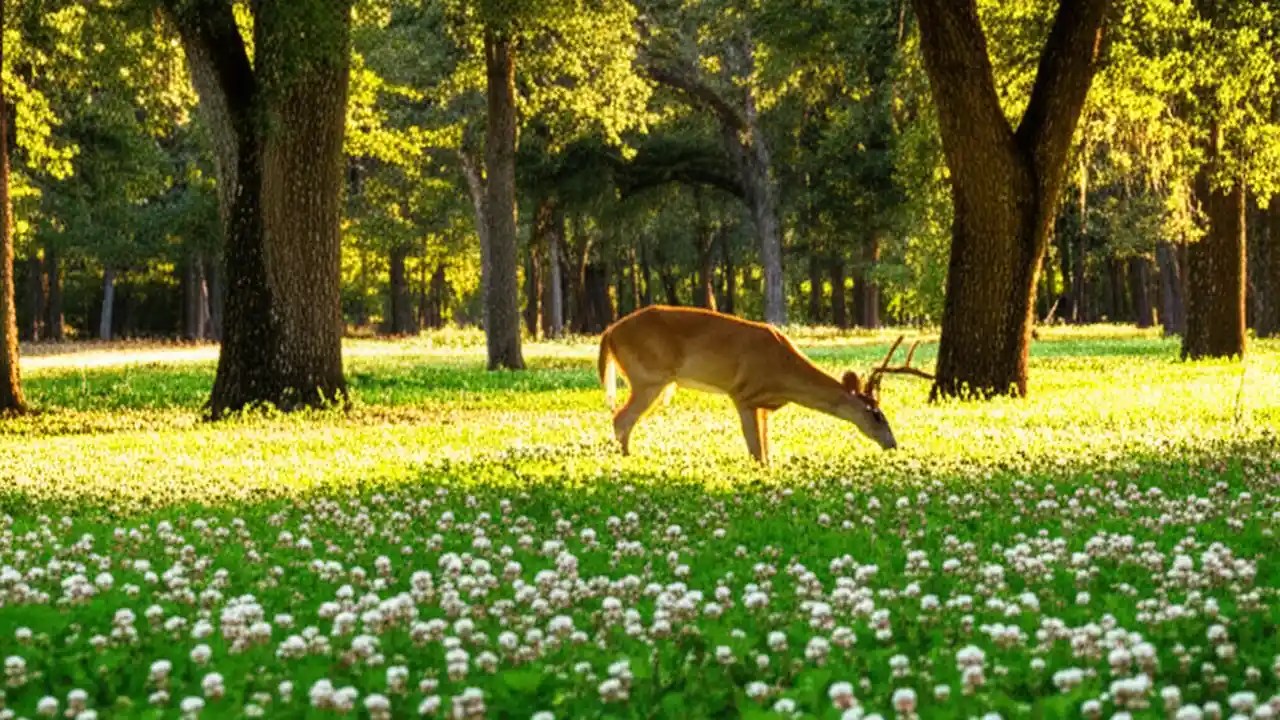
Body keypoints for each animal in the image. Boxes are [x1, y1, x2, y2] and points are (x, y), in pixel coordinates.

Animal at [596, 305, 934, 465]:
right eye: (876, 414)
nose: (893, 444)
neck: (783, 376)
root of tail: (609, 332)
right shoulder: (742, 392)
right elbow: (755, 450)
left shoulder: (764, 404)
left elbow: (766, 450)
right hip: (648, 376)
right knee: (621, 417)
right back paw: (626, 458)